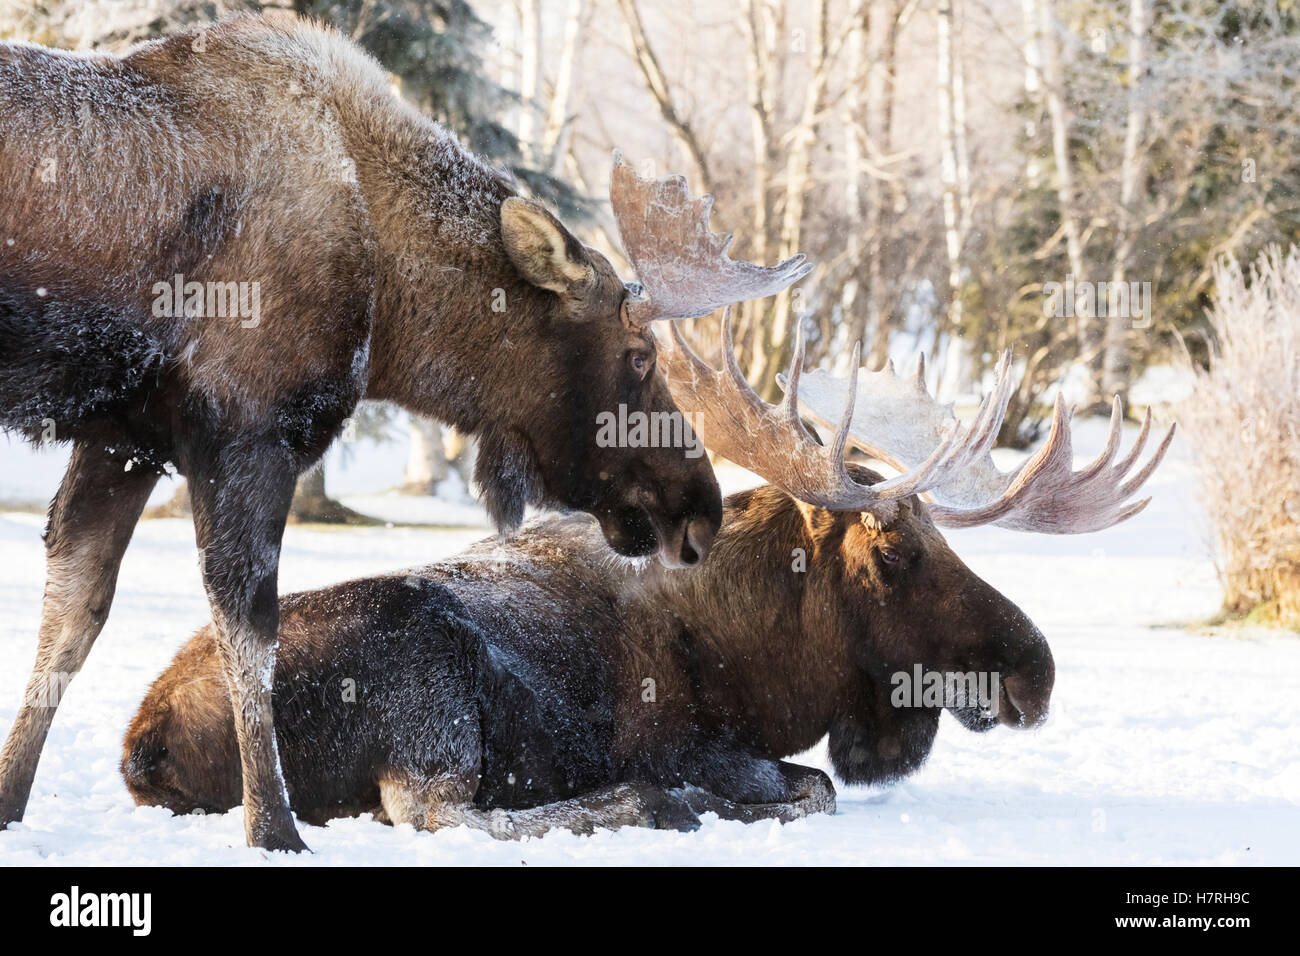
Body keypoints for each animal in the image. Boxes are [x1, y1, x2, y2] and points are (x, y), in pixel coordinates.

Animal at [0, 14, 814, 851]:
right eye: (641, 354)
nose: (701, 509)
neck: (387, 302)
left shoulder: (123, 437)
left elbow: (73, 614)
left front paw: (8, 804)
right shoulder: (247, 428)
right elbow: (247, 628)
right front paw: (275, 830)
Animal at [117, 162, 1176, 839]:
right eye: (893, 552)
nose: (1036, 671)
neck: (775, 659)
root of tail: (144, 739)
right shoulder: (687, 738)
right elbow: (811, 785)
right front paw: (713, 797)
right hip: (423, 679)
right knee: (437, 811)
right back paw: (649, 805)